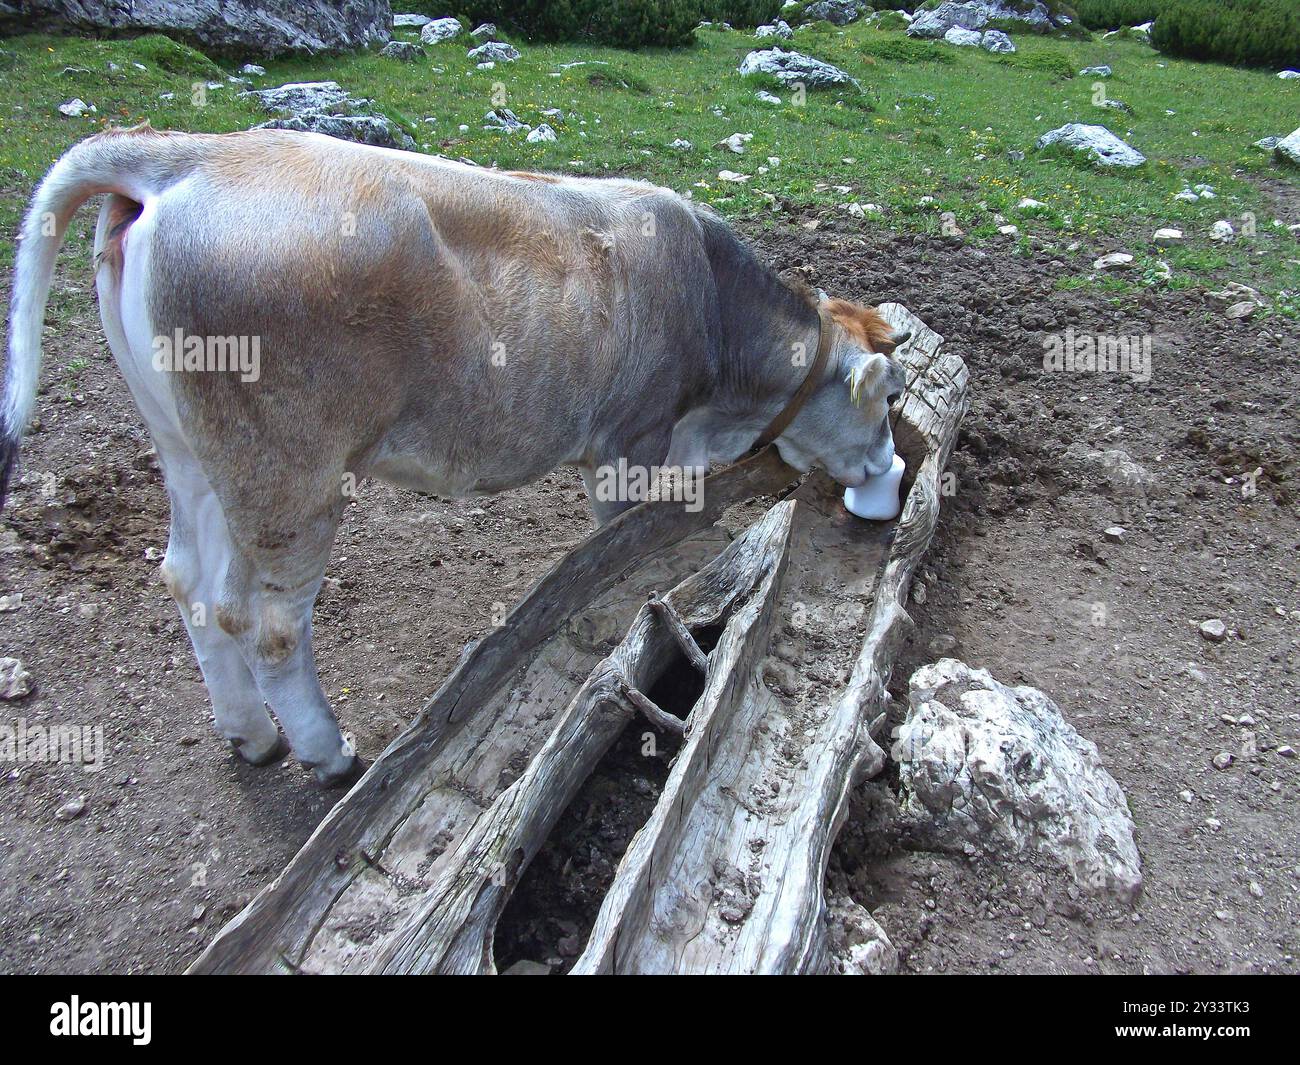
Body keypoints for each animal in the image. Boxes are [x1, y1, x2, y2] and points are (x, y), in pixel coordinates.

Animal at [2, 126, 907, 786]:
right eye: (890, 399)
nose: (895, 477)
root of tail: (194, 151)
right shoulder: (629, 439)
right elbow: (623, 543)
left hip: (189, 451)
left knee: (190, 583)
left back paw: (250, 735)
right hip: (292, 474)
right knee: (265, 623)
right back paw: (327, 753)